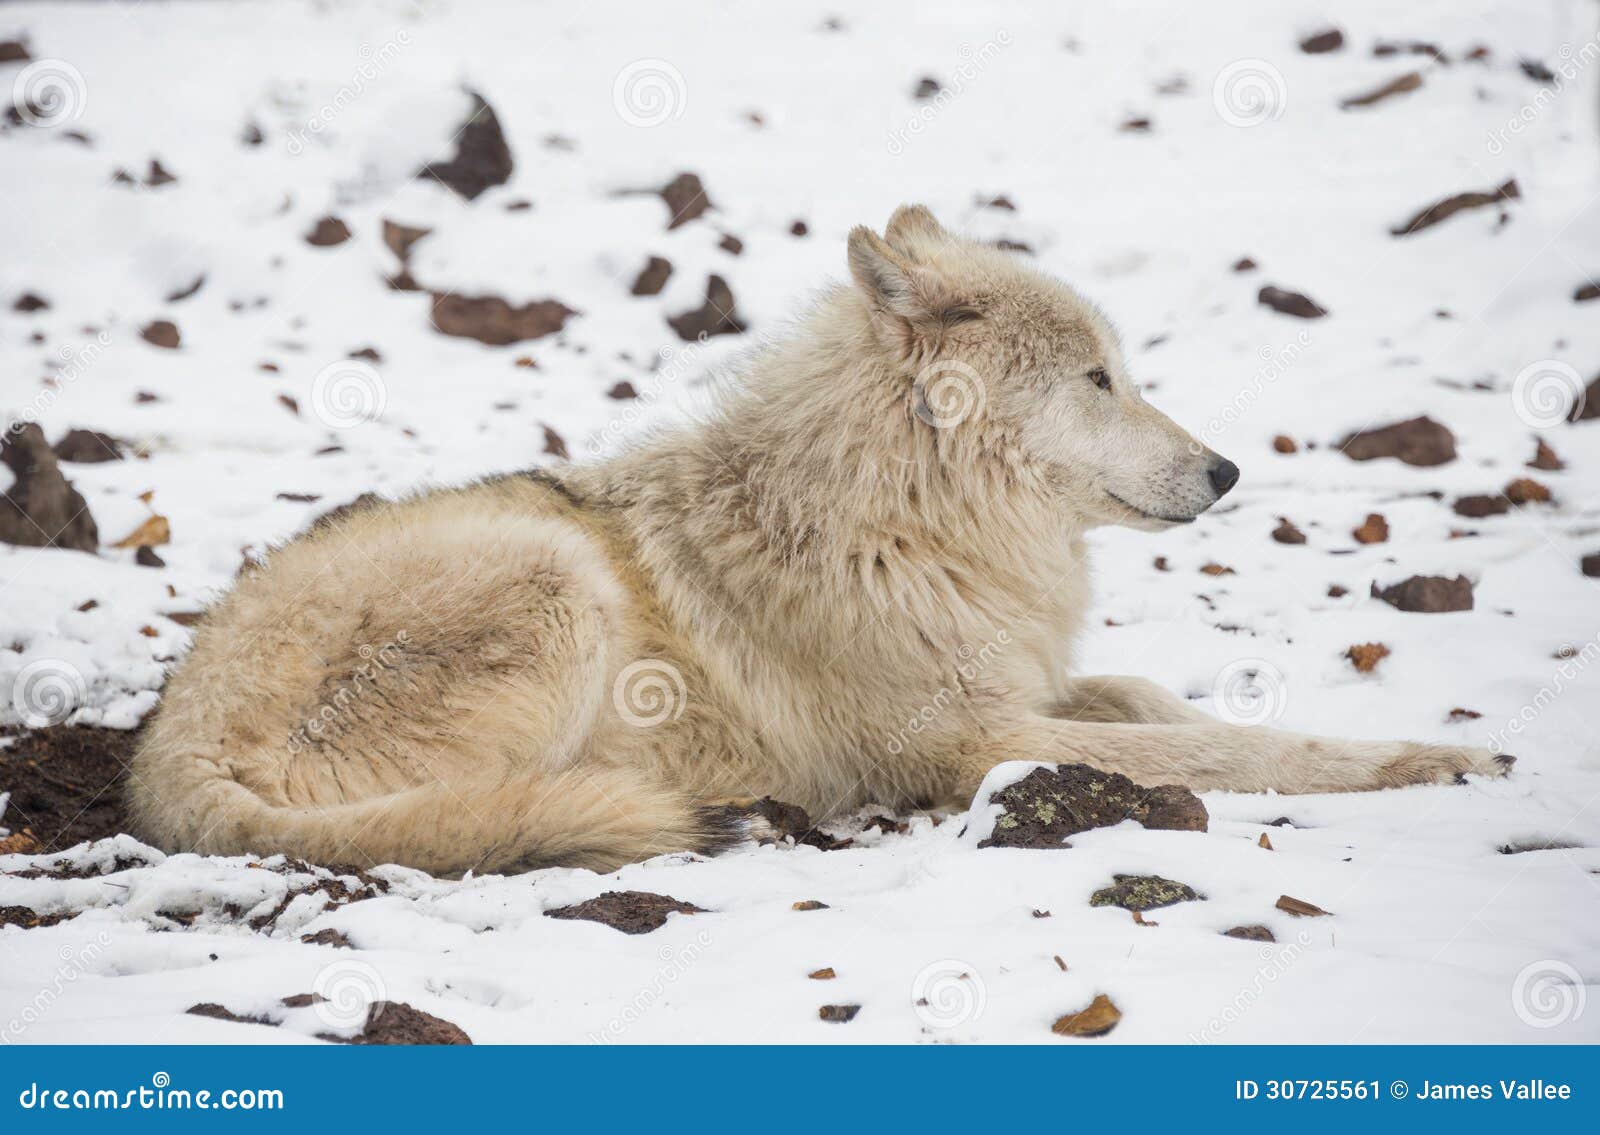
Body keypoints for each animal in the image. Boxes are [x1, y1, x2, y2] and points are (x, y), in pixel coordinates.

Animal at [127, 206, 1511, 875]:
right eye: (1097, 380)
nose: (1226, 470)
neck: (902, 518)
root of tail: (161, 755)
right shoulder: (969, 745)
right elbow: (1246, 749)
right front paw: (1429, 759)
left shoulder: (1022, 682)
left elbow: (1156, 699)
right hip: (552, 581)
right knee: (446, 818)